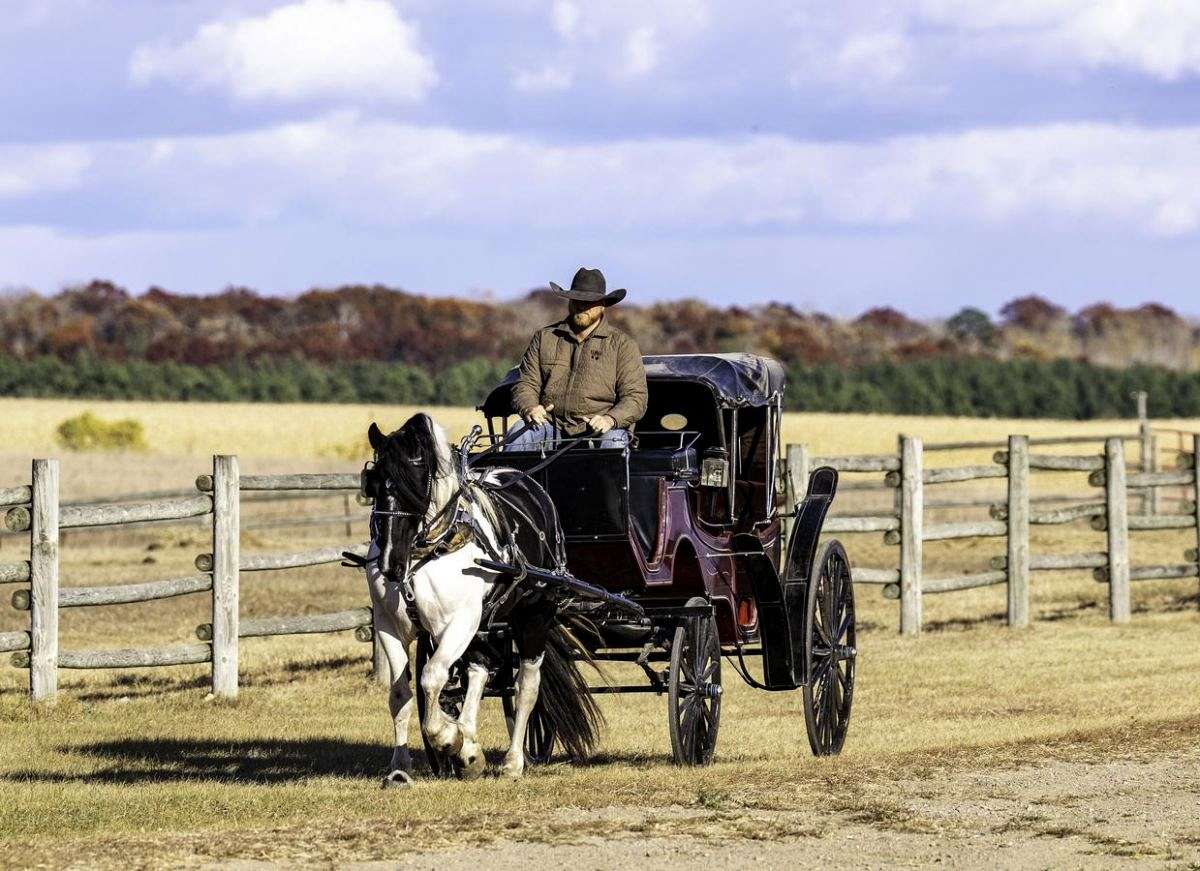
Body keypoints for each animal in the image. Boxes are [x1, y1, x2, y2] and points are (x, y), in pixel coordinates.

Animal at [358, 412, 602, 786]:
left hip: (533, 615)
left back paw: (512, 761)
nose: (389, 564)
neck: (430, 549)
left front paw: (446, 736)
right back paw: (469, 747)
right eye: (372, 485)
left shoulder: (462, 620)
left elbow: (432, 677)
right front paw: (402, 767)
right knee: (479, 669)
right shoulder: (389, 624)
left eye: (413, 484)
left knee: (526, 686)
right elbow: (401, 694)